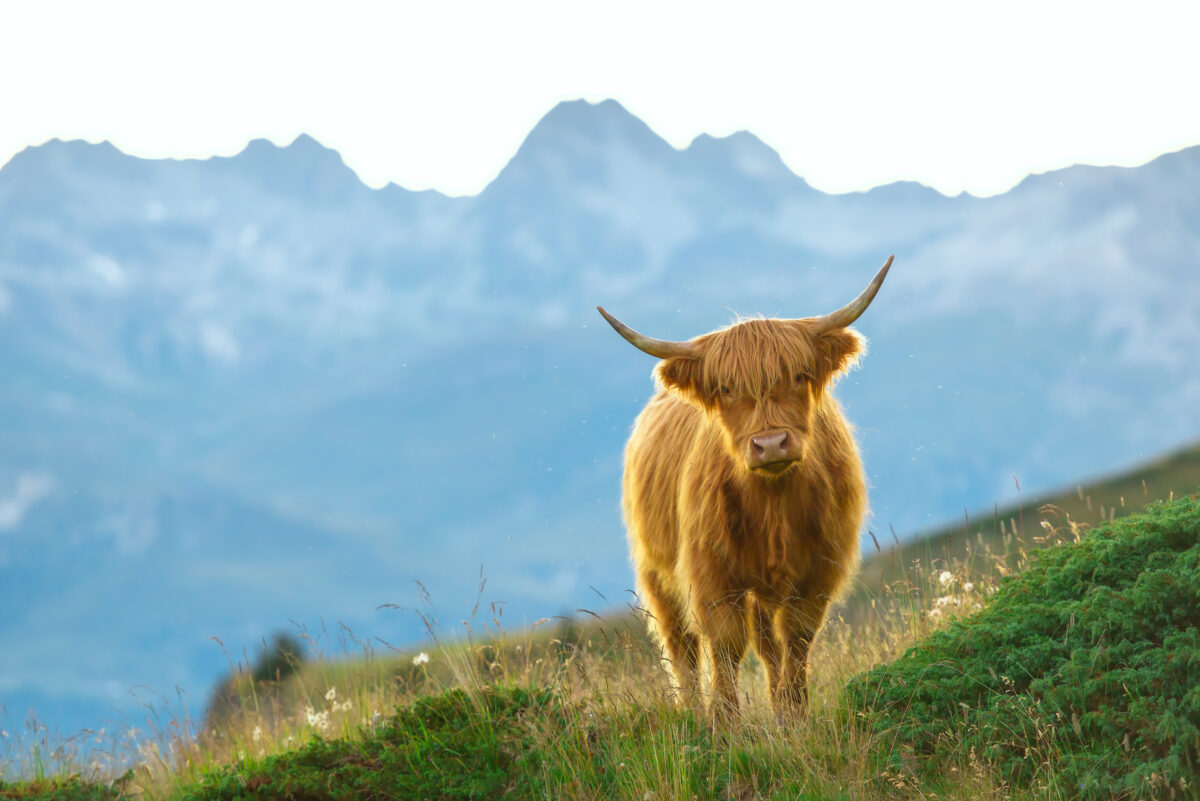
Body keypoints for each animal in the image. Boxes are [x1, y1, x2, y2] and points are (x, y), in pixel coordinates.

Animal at [598, 256, 892, 724]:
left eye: (799, 375)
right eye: (725, 389)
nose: (770, 444)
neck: (774, 506)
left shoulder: (819, 569)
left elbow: (796, 639)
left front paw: (793, 715)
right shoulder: (711, 573)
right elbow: (725, 645)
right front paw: (725, 722)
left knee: (768, 643)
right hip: (656, 572)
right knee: (681, 646)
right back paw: (691, 710)